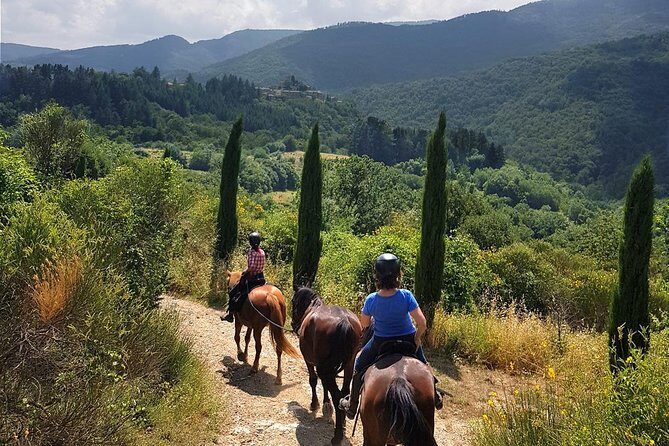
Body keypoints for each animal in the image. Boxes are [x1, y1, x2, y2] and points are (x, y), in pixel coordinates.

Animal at [291, 287, 363, 444]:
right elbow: (324, 386)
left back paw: (337, 436)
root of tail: (344, 321)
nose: (293, 324)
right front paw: (326, 406)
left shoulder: (310, 361)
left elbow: (313, 380)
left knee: (337, 395)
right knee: (344, 391)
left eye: (293, 301)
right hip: (349, 363)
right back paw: (342, 422)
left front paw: (315, 404)